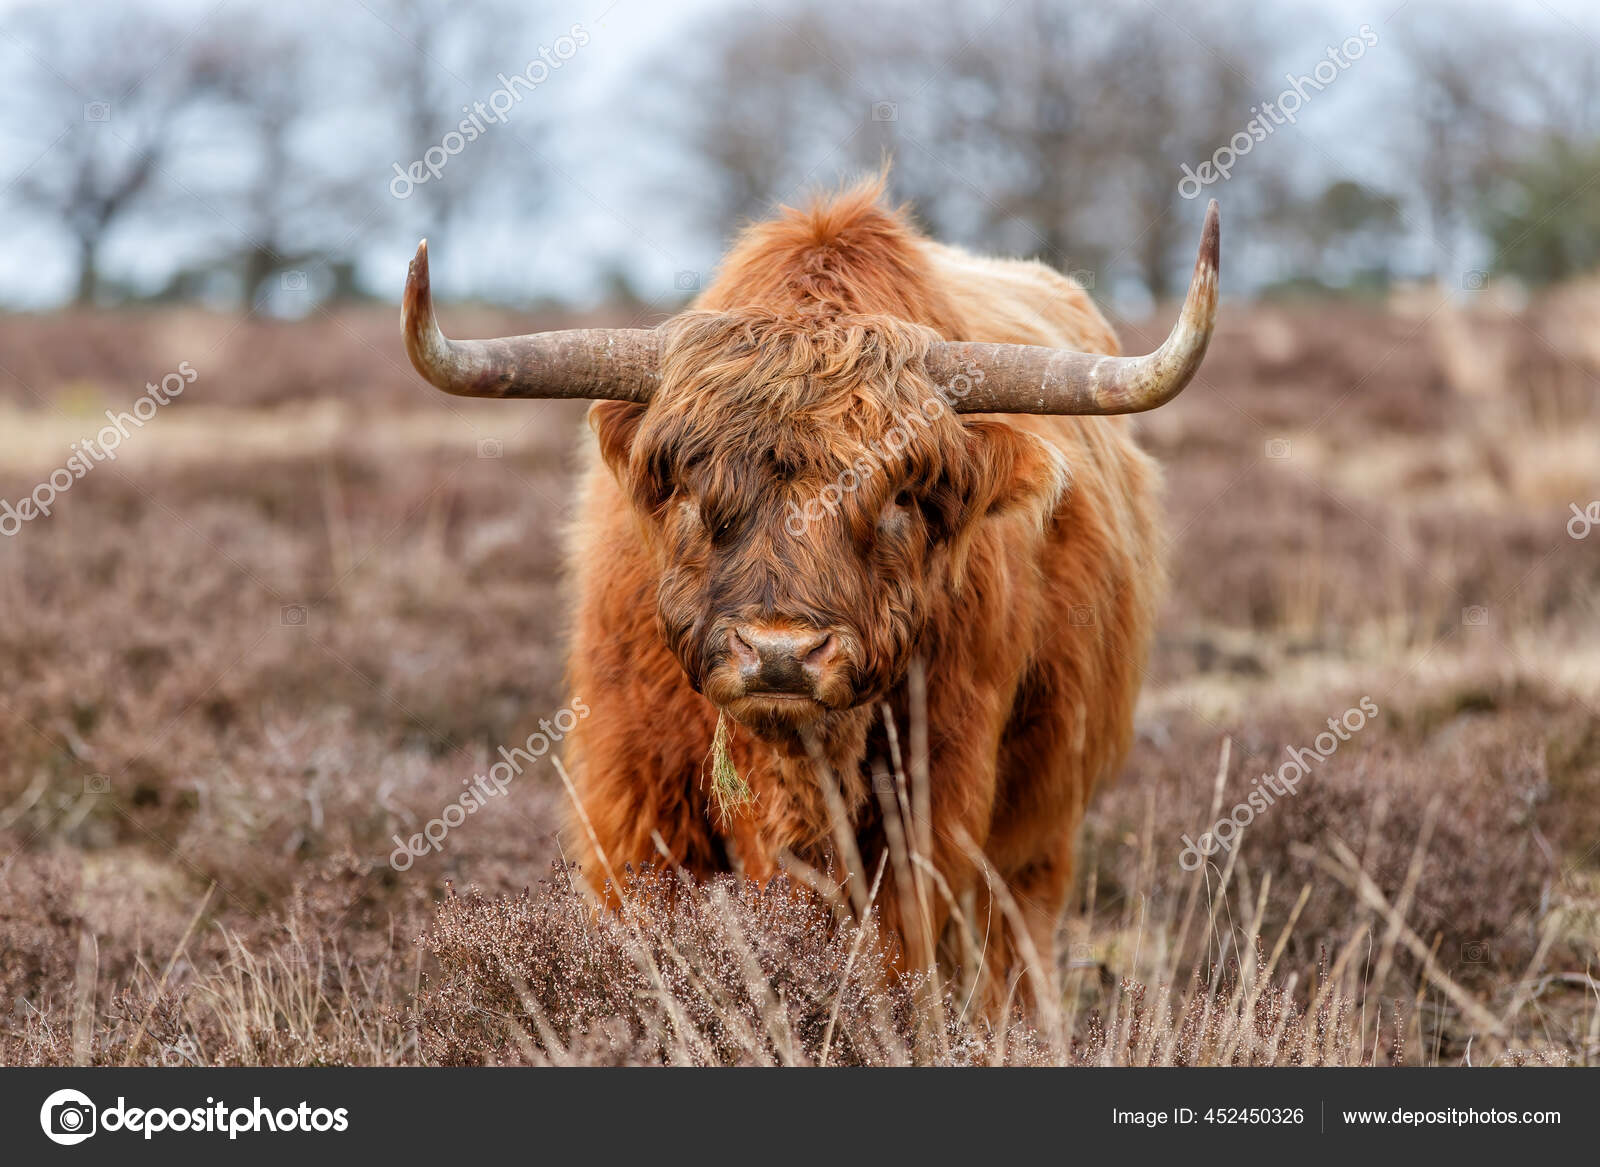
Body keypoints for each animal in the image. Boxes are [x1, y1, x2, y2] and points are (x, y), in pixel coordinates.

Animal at [401, 178, 1219, 1009]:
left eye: (900, 497)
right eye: (692, 490)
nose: (780, 653)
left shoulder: (931, 813)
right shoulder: (632, 803)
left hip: (1041, 828)